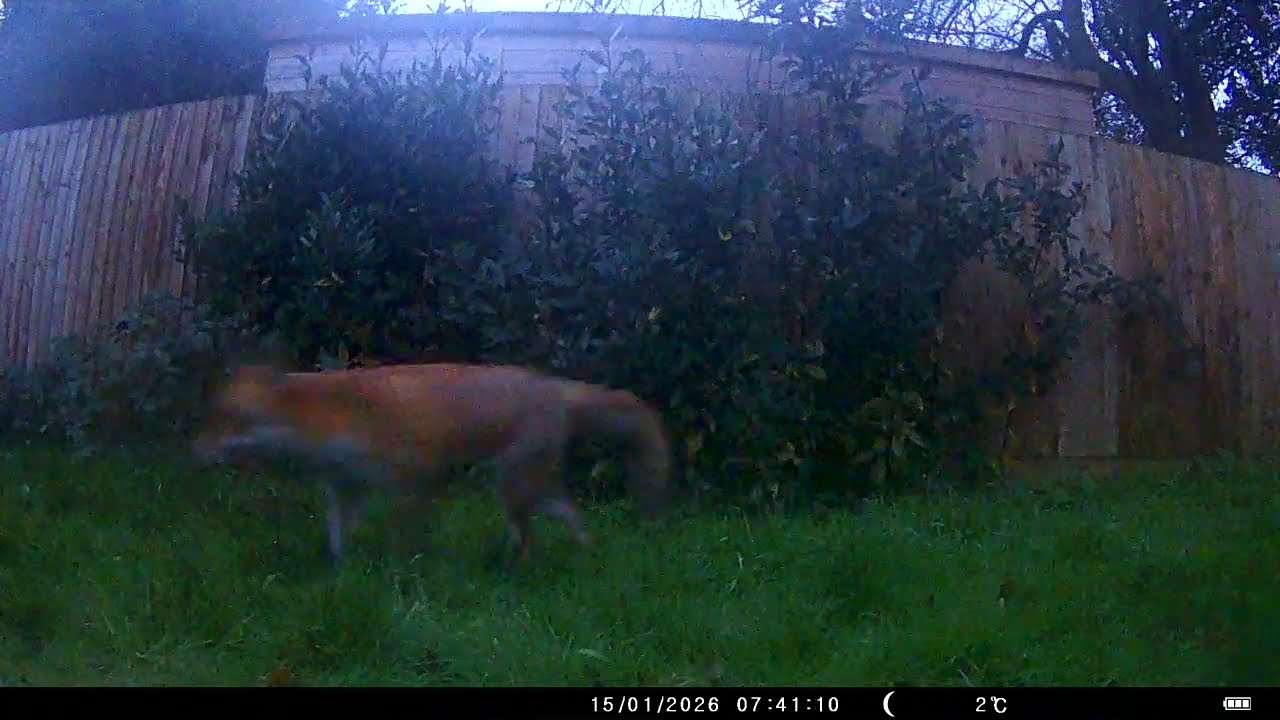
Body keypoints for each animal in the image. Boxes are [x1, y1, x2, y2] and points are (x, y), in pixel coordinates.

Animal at [192, 362, 671, 567]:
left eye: (226, 422)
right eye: (209, 419)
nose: (191, 450)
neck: (330, 417)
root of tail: (554, 385)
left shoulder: (414, 475)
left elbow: (405, 534)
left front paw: (404, 570)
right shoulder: (347, 487)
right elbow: (337, 539)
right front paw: (337, 572)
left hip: (513, 490)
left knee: (540, 532)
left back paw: (522, 569)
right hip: (526, 490)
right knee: (572, 517)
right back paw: (581, 553)